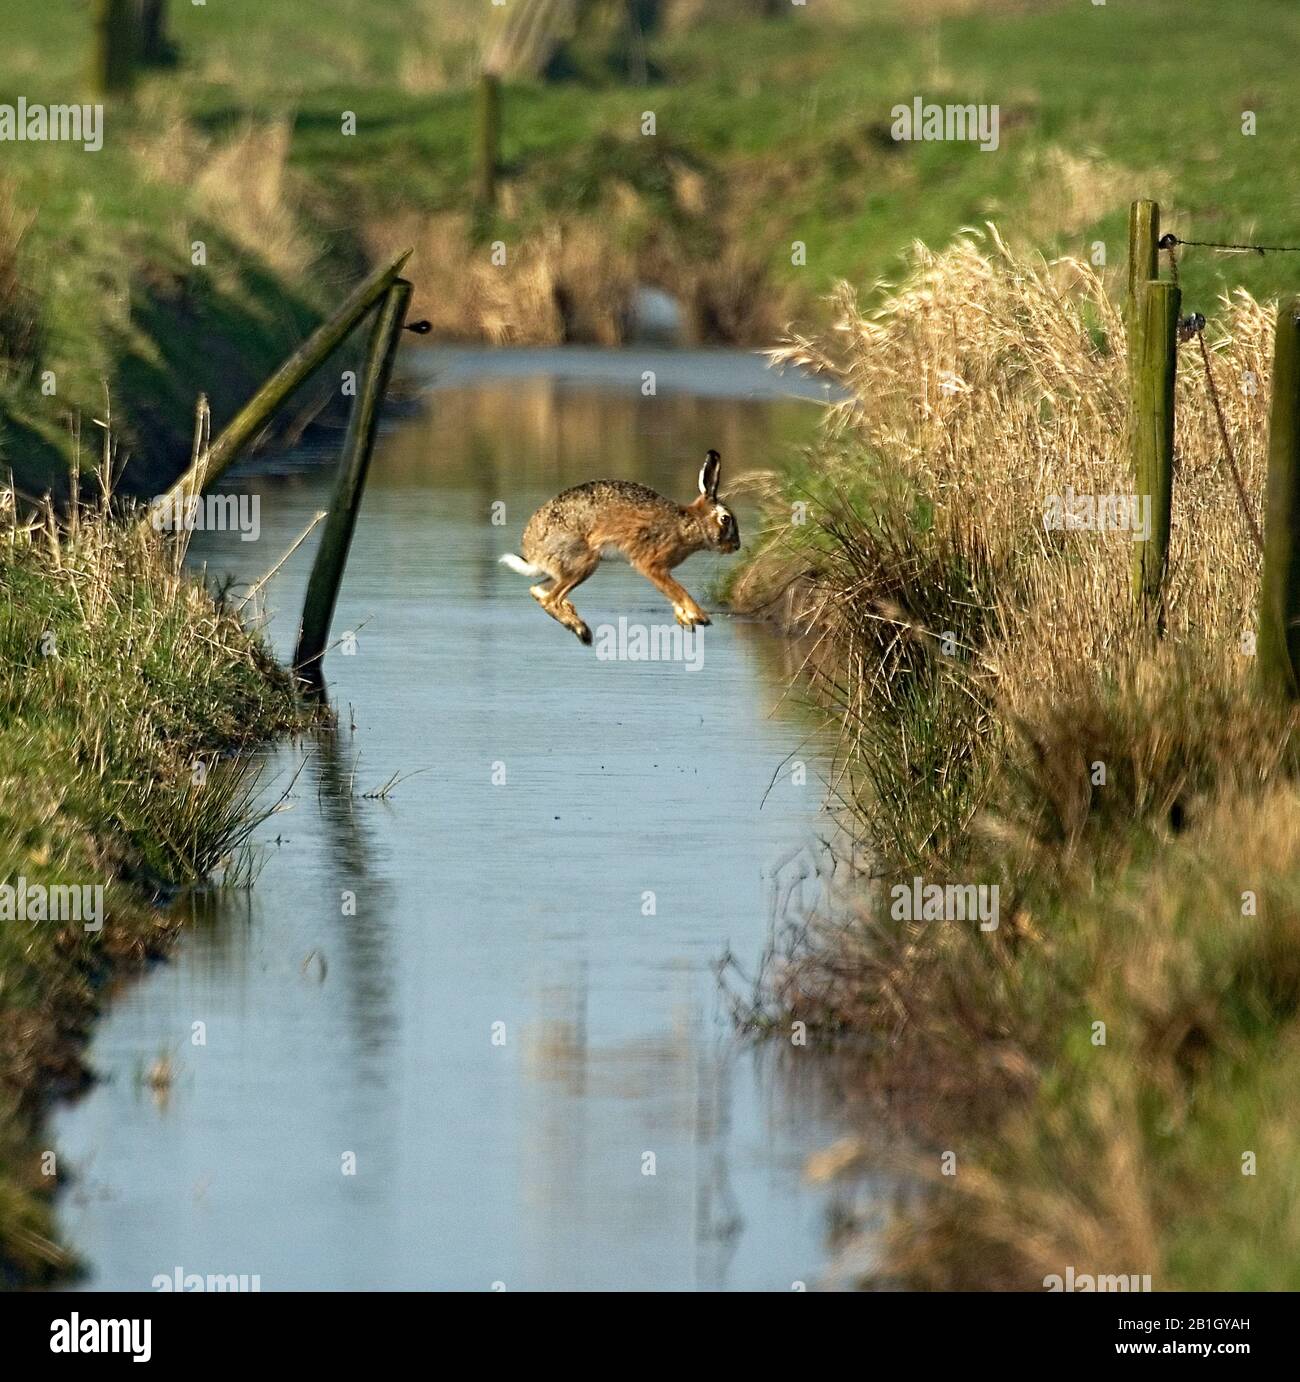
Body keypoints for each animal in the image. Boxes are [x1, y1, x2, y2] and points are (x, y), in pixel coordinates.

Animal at [499, 449, 740, 645]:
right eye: (725, 519)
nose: (736, 546)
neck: (690, 524)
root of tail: (533, 553)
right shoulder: (652, 564)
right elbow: (677, 590)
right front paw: (699, 616)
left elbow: (672, 593)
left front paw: (686, 620)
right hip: (583, 562)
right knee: (551, 599)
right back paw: (582, 631)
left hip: (566, 569)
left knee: (538, 591)